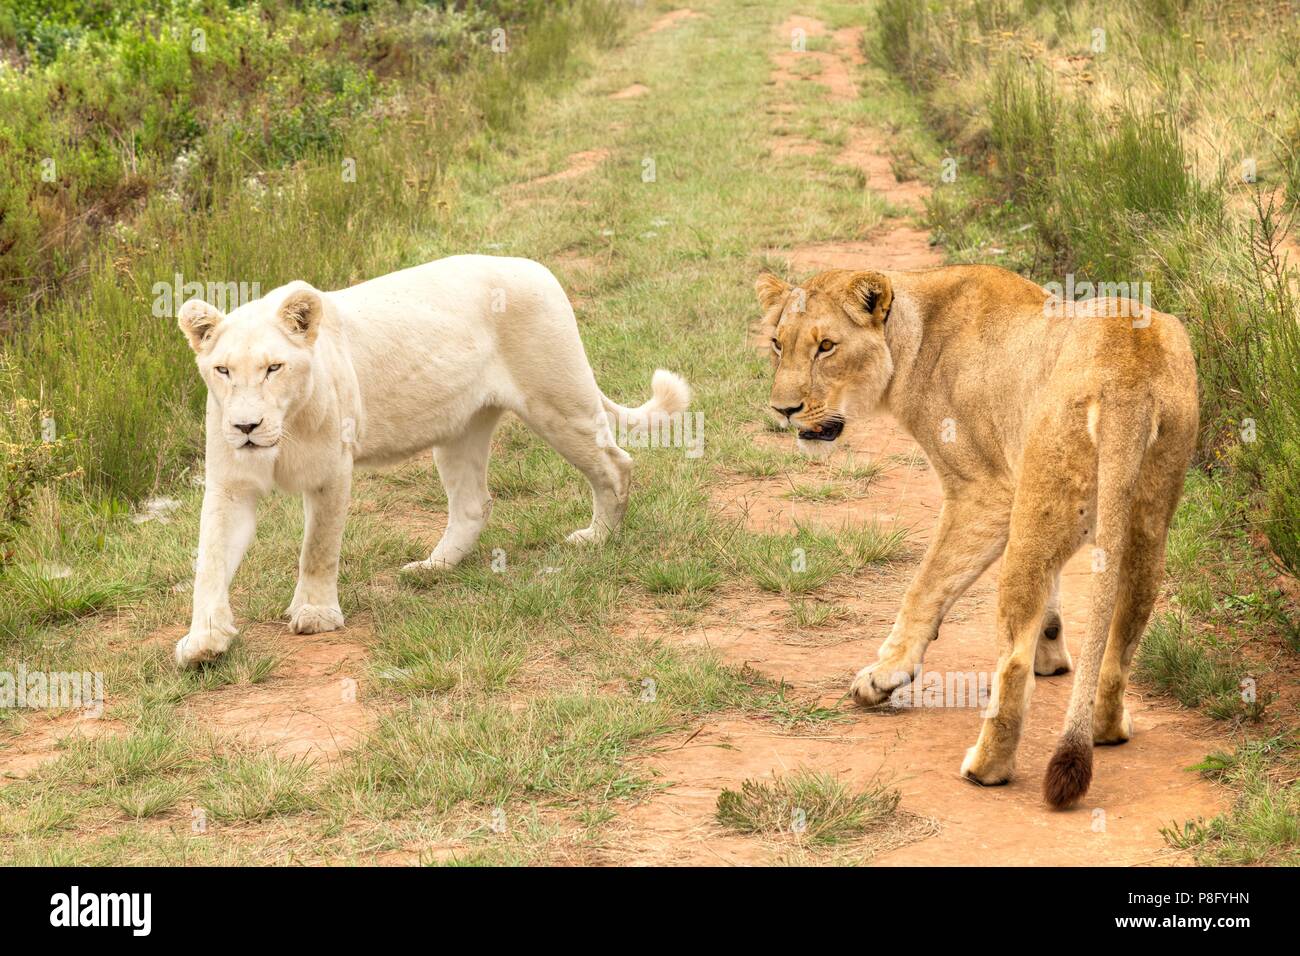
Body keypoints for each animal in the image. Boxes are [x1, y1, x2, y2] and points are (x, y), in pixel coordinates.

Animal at [174, 254, 689, 667]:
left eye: (273, 368)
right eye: (223, 370)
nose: (246, 426)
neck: (284, 425)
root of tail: (536, 267)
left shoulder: (331, 473)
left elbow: (317, 548)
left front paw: (315, 614)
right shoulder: (230, 487)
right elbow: (210, 561)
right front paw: (203, 642)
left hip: (558, 403)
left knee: (615, 464)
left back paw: (598, 537)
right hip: (460, 430)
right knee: (473, 503)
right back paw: (435, 567)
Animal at [754, 264, 1198, 808]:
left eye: (826, 347)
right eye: (777, 343)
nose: (784, 410)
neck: (912, 338)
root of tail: (1127, 380)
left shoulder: (985, 493)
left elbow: (925, 587)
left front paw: (884, 674)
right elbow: (1052, 594)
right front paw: (1052, 651)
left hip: (1039, 503)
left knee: (1011, 667)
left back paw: (986, 767)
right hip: (1145, 523)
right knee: (1122, 637)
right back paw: (1104, 725)